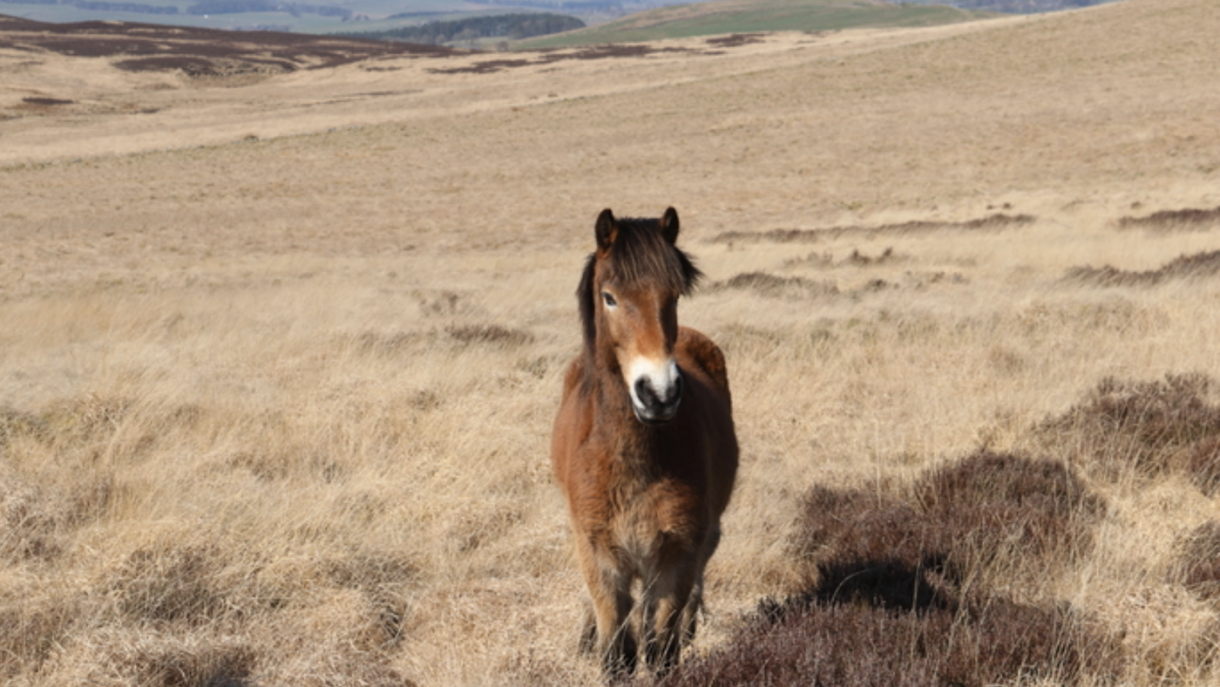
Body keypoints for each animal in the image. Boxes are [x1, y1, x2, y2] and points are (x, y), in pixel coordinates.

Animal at [551, 207, 739, 679]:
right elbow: (616, 655)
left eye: (674, 294)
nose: (659, 393)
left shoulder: (675, 558)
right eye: (609, 296)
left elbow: (661, 653)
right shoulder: (601, 560)